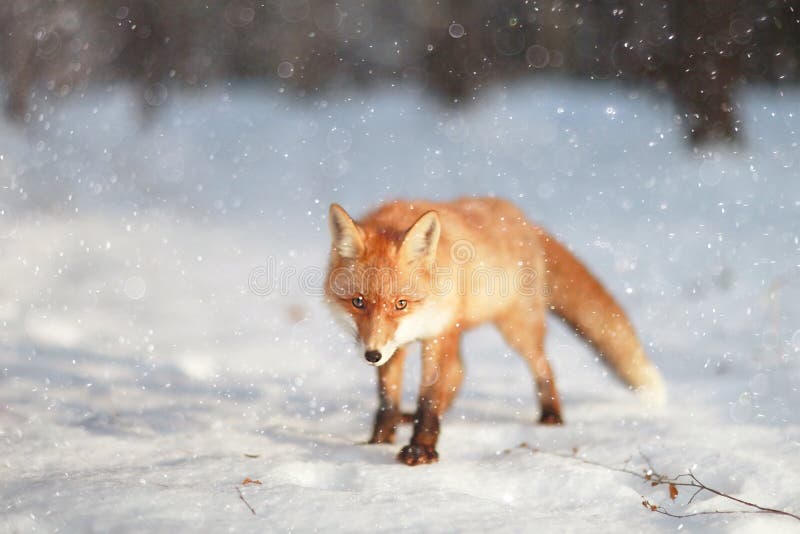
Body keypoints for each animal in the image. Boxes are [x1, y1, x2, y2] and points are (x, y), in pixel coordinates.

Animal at [325, 198, 665, 466]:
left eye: (400, 303)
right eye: (358, 302)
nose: (372, 355)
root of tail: (520, 215)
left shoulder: (437, 333)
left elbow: (429, 397)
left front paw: (421, 449)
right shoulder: (399, 345)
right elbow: (388, 398)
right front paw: (379, 441)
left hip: (517, 329)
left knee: (543, 365)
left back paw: (551, 417)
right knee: (460, 372)